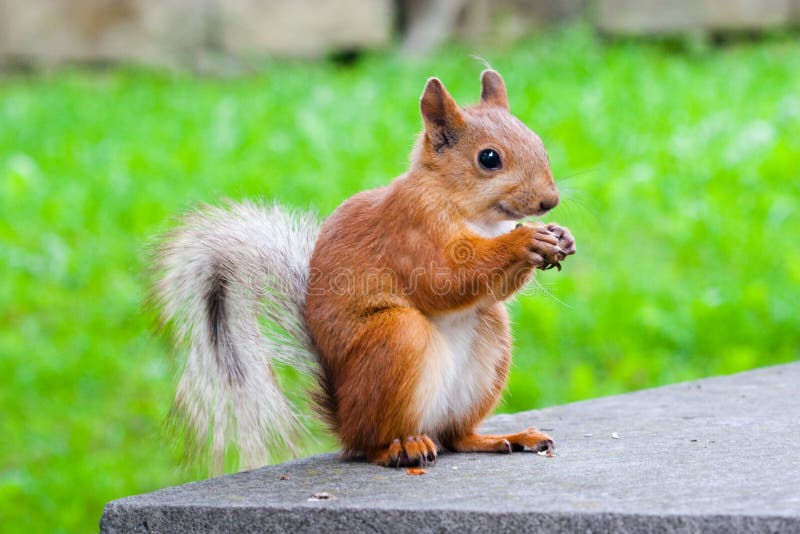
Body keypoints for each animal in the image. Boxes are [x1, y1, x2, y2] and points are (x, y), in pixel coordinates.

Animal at [153, 70, 576, 472]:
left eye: (538, 142)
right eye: (488, 158)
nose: (549, 201)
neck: (474, 214)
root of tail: (345, 422)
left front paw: (560, 236)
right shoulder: (410, 229)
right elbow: (443, 278)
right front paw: (524, 241)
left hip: (488, 341)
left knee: (456, 436)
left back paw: (504, 437)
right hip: (395, 339)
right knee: (375, 442)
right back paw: (400, 448)